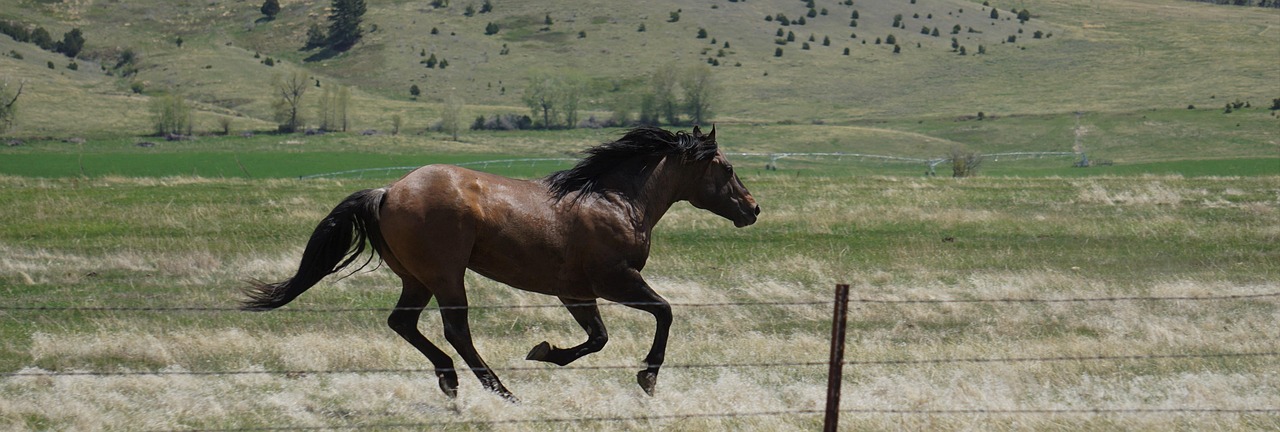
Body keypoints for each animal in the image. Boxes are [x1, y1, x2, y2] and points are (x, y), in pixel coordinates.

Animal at [243, 125, 759, 401]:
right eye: (728, 168)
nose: (752, 209)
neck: (615, 200)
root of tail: (388, 191)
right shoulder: (615, 279)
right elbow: (663, 312)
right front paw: (647, 378)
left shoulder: (575, 291)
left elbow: (597, 338)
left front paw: (546, 351)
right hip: (447, 275)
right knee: (456, 331)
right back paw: (501, 391)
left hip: (417, 278)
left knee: (403, 324)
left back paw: (450, 381)